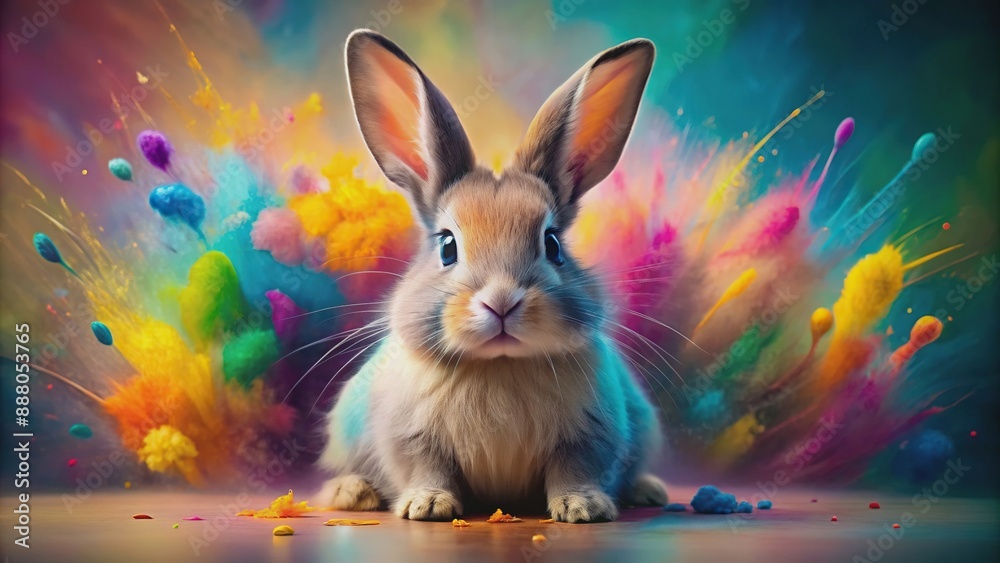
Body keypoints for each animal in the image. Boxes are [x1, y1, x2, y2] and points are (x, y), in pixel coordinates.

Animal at [317, 29, 667, 523]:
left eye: (552, 244)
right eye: (447, 246)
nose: (501, 300)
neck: (499, 364)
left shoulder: (590, 436)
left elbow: (576, 469)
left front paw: (583, 508)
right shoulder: (410, 437)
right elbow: (426, 467)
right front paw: (427, 506)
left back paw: (649, 490)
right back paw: (353, 493)